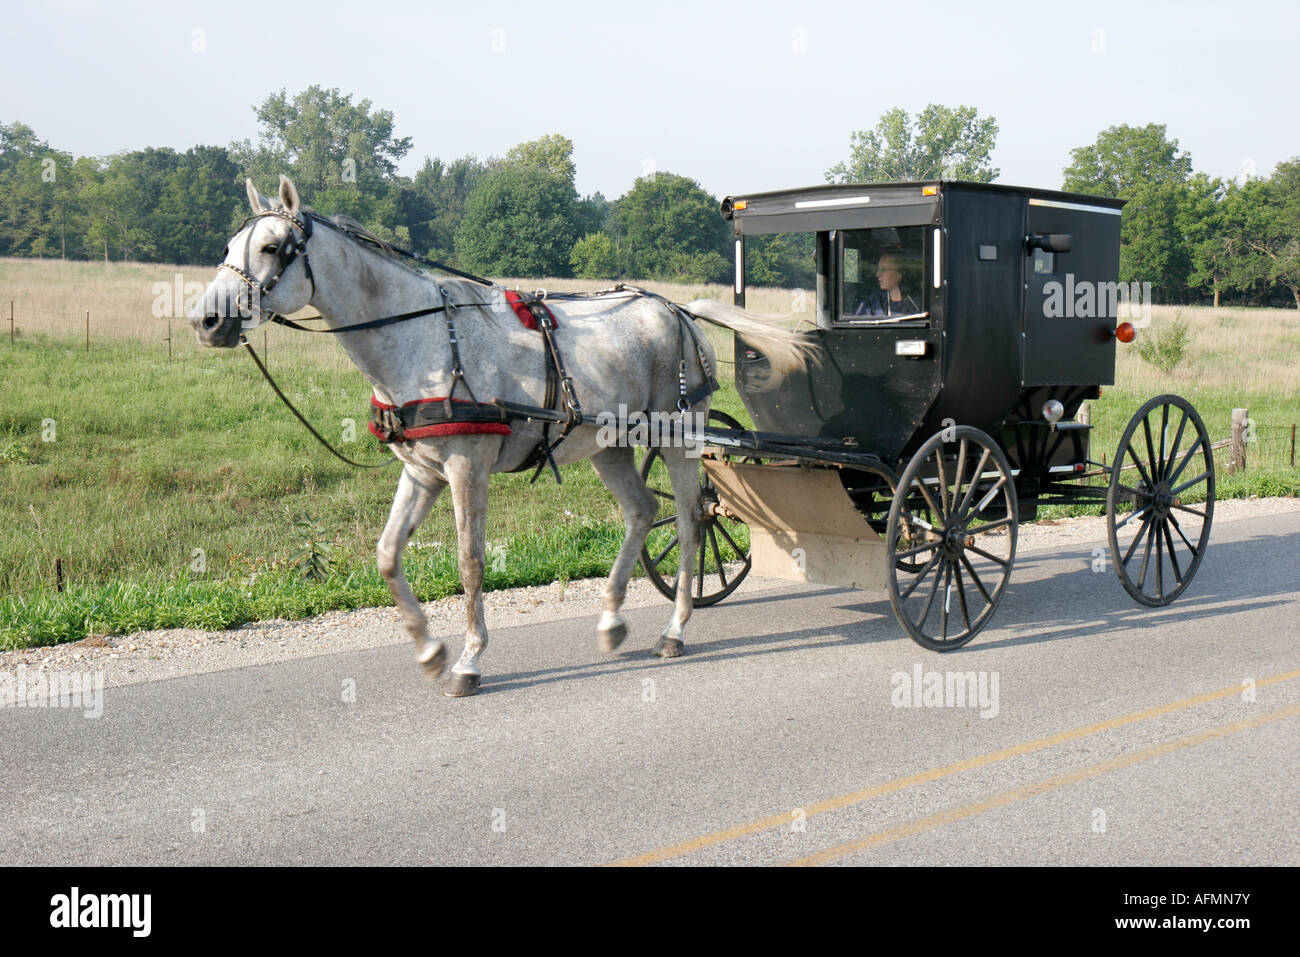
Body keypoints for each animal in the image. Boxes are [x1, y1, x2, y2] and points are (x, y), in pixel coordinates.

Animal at [190, 175, 813, 696]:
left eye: (272, 247)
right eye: (228, 247)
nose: (204, 320)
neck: (422, 341)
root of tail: (678, 309)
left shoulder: (468, 468)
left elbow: (470, 561)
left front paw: (468, 660)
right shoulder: (422, 471)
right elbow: (388, 555)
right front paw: (430, 651)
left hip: (680, 436)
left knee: (690, 521)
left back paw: (675, 628)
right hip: (607, 445)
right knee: (641, 511)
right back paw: (611, 619)